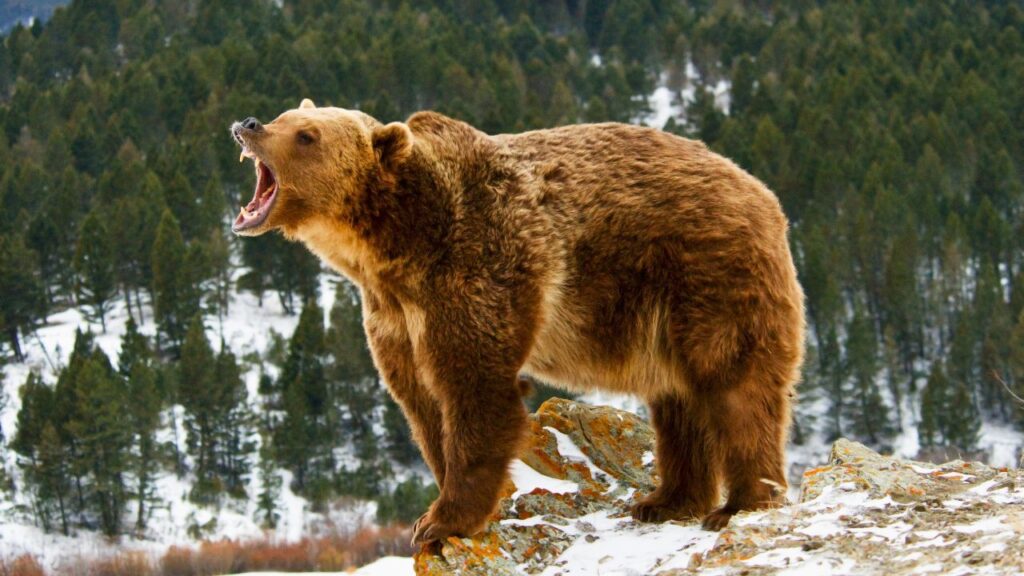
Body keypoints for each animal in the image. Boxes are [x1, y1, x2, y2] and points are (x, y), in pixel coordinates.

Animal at [230, 99, 805, 544]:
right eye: (287, 115)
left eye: (307, 135)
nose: (249, 124)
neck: (395, 246)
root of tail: (764, 194)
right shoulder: (393, 315)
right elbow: (422, 404)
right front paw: (438, 507)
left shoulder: (477, 266)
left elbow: (476, 389)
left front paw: (442, 521)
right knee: (678, 400)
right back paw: (666, 500)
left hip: (708, 274)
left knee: (735, 386)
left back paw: (740, 504)